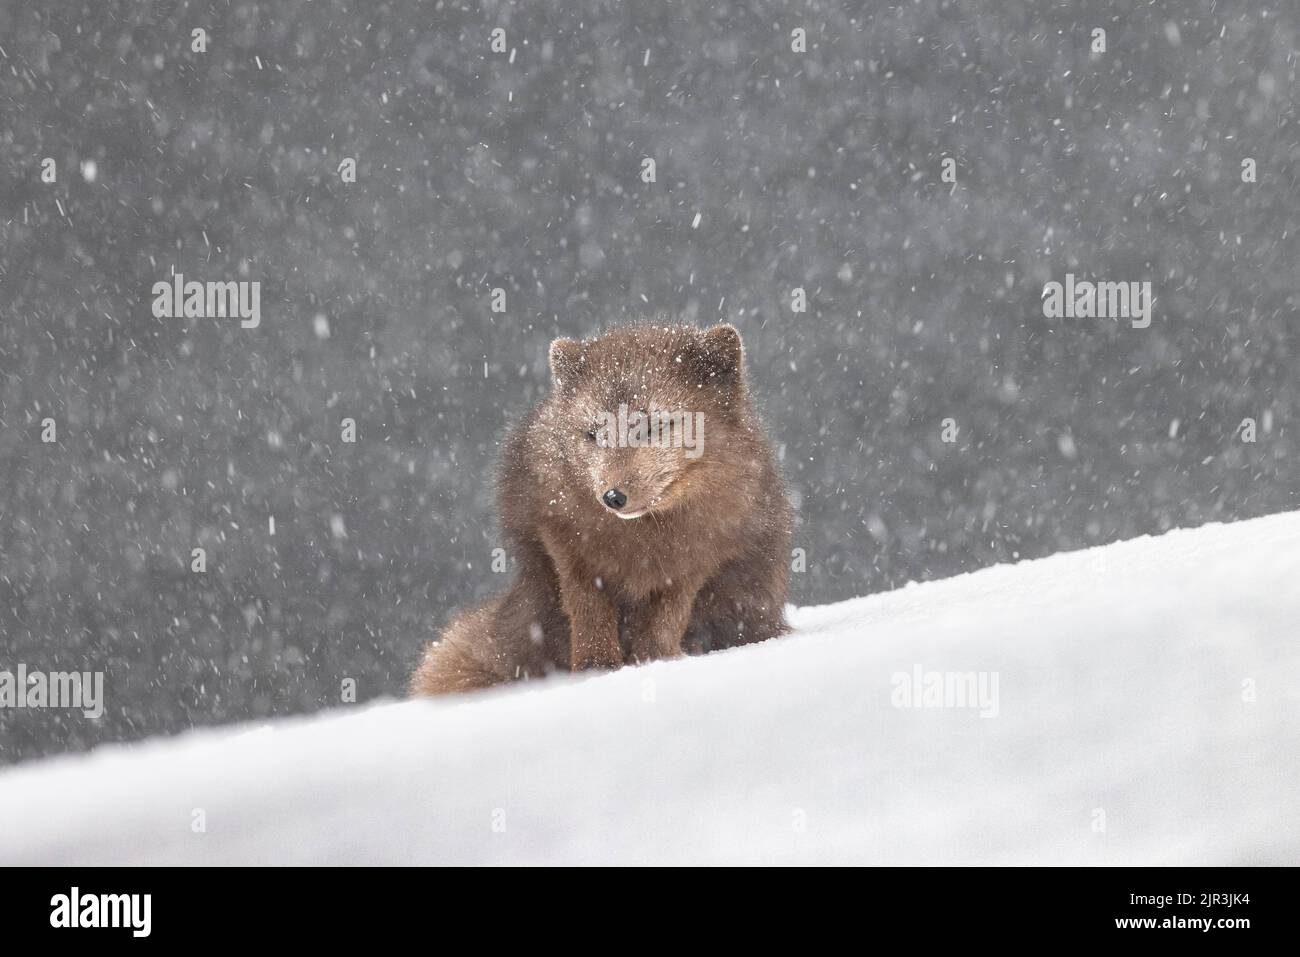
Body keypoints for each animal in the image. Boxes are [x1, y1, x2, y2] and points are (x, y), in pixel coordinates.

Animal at [409, 322, 793, 695]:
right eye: (594, 434)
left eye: (655, 426)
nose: (613, 496)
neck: (643, 542)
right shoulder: (567, 548)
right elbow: (589, 615)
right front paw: (597, 671)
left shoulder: (697, 560)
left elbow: (664, 622)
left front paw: (653, 664)